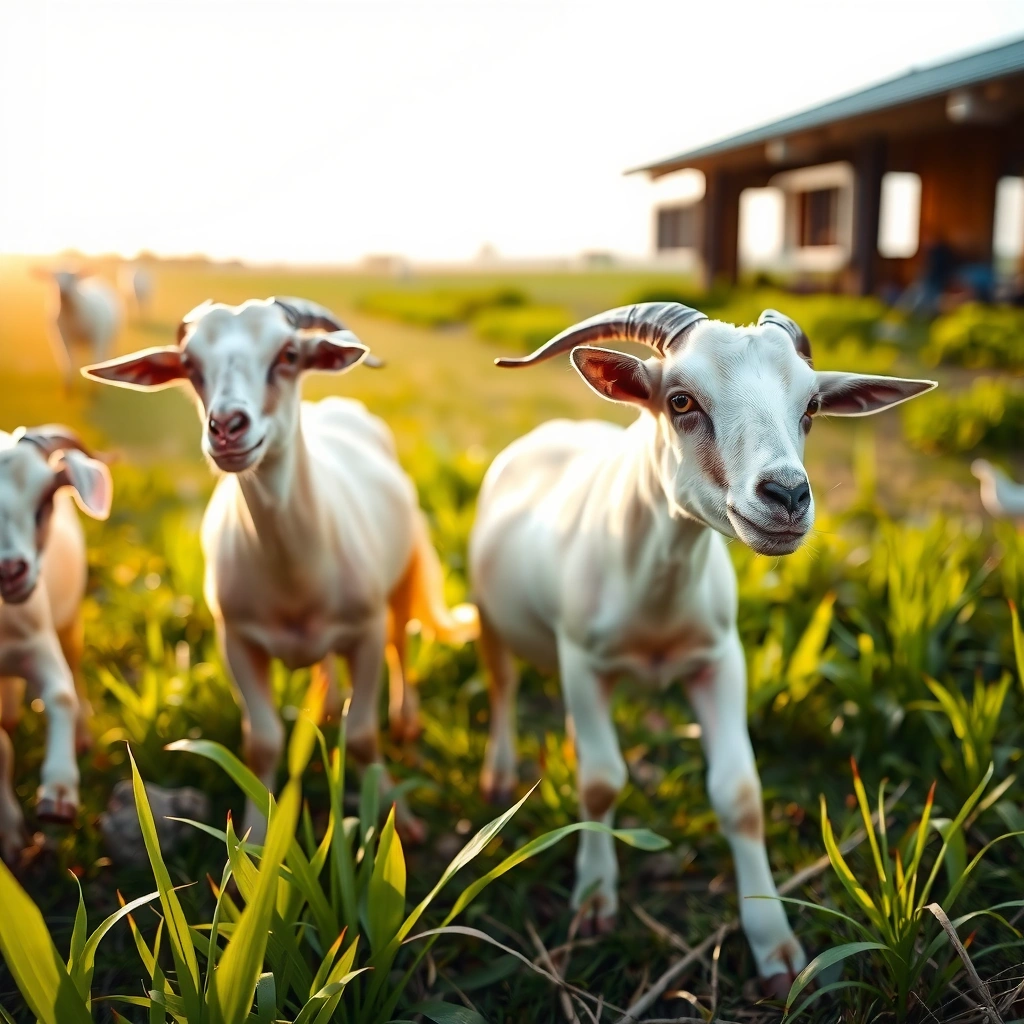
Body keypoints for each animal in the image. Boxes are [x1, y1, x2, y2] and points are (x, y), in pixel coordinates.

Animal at [0, 426, 112, 863]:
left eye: (43, 502)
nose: (10, 571)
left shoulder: (38, 641)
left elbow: (61, 694)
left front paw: (59, 794)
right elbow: (0, 747)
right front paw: (11, 835)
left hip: (70, 621)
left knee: (76, 671)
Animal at [83, 296, 477, 841]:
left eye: (288, 354)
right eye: (190, 365)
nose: (227, 427)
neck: (296, 577)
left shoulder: (365, 631)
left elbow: (361, 734)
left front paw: (397, 820)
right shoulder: (237, 640)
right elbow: (263, 741)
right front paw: (256, 836)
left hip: (399, 580)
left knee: (401, 643)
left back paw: (405, 721)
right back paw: (328, 707)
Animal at [469, 302, 936, 994]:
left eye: (811, 407)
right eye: (681, 400)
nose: (787, 495)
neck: (658, 600)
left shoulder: (720, 660)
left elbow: (739, 795)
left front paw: (776, 949)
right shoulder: (582, 661)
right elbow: (603, 782)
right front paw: (594, 900)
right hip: (489, 615)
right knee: (502, 687)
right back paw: (498, 775)